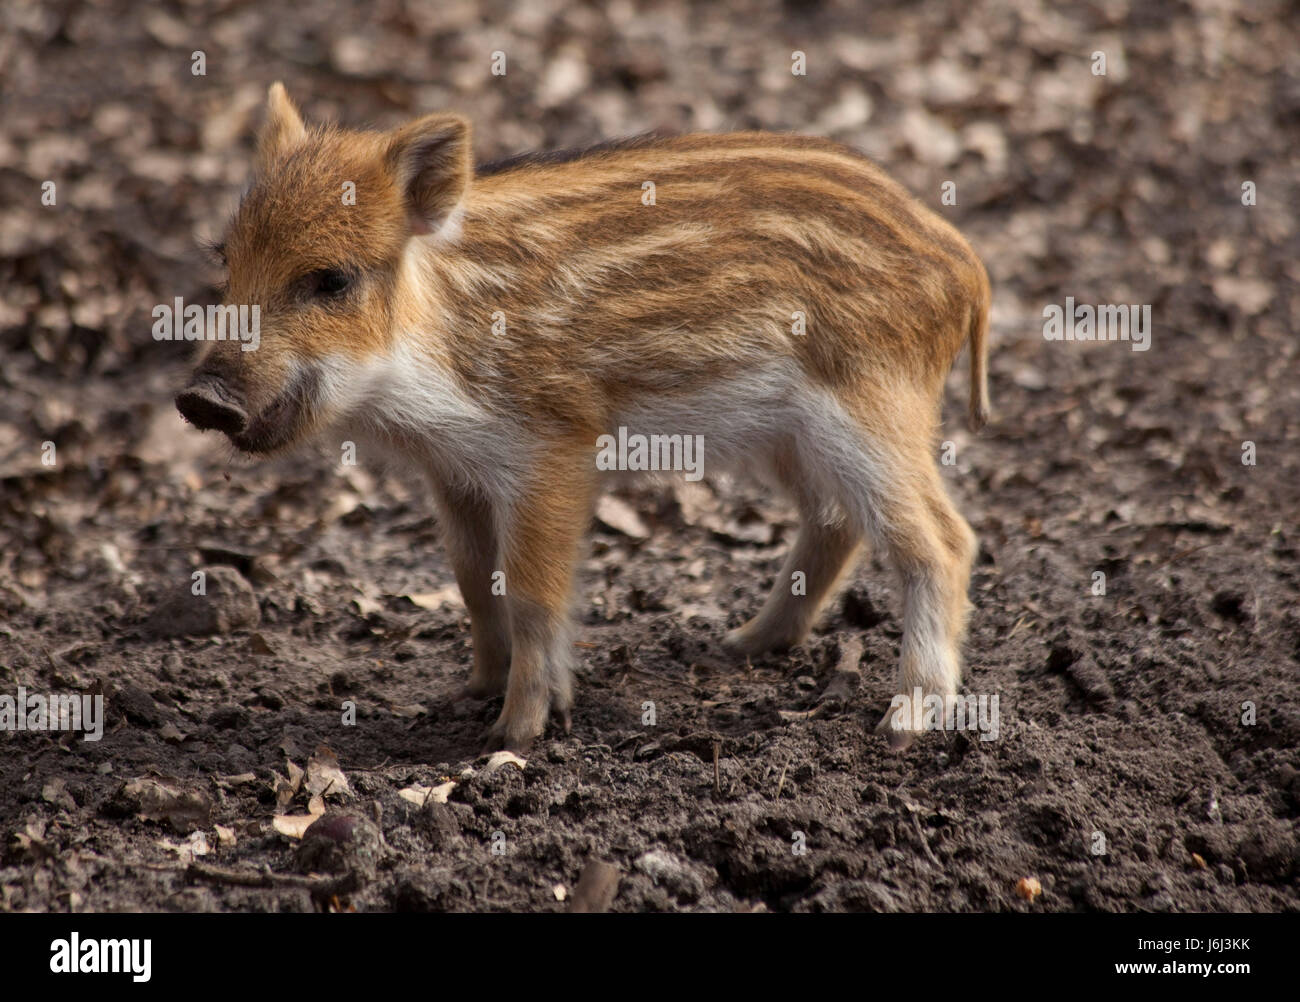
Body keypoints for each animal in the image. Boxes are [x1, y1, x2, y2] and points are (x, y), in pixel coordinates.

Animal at [176, 83, 991, 754]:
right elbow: (473, 578)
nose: (200, 399)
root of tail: (963, 257)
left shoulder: (552, 449)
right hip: (793, 436)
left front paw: (513, 735)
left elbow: (533, 591)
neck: (435, 340)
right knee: (836, 520)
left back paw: (907, 722)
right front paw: (468, 693)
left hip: (872, 411)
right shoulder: (454, 472)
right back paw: (738, 646)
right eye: (226, 259)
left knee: (943, 541)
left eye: (332, 280)